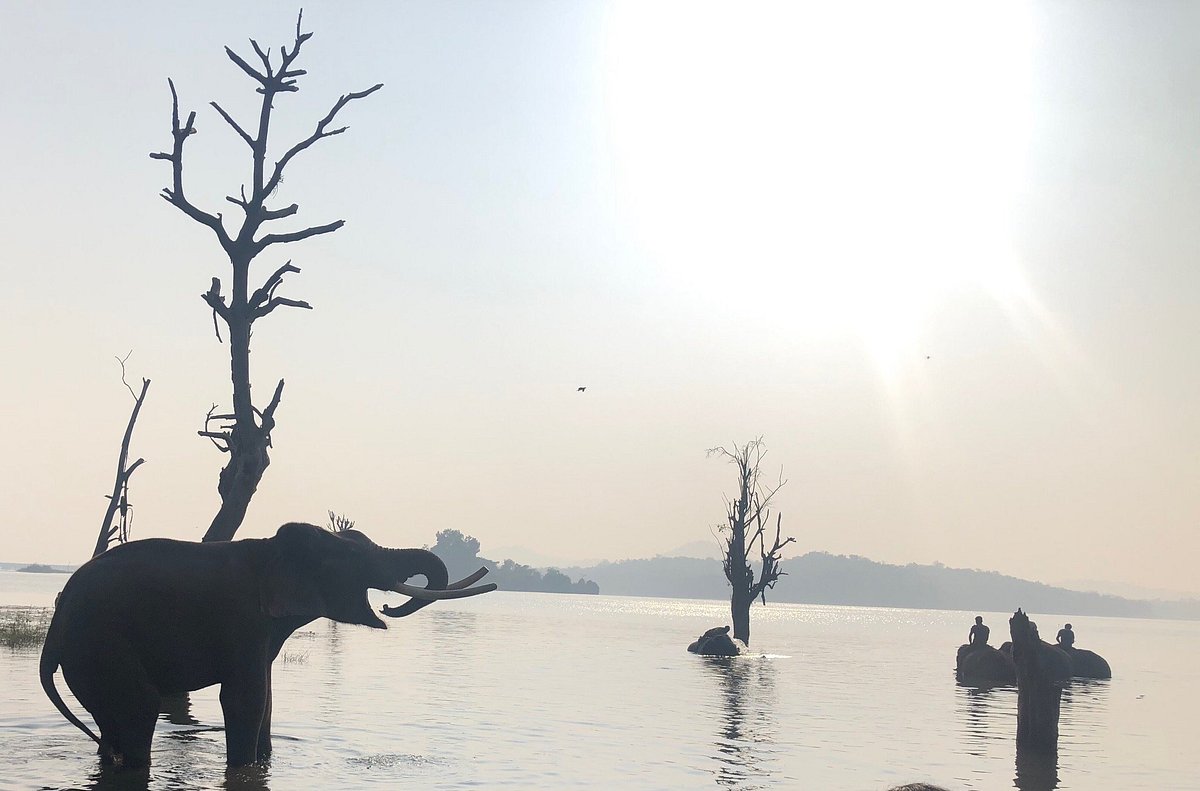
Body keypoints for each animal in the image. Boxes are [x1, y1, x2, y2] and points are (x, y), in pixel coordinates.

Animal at [40, 522, 495, 769]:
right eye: (352, 560)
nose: (388, 604)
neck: (272, 549)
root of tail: (56, 622)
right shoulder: (241, 621)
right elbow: (246, 699)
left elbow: (267, 699)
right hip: (102, 644)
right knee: (140, 707)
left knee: (112, 722)